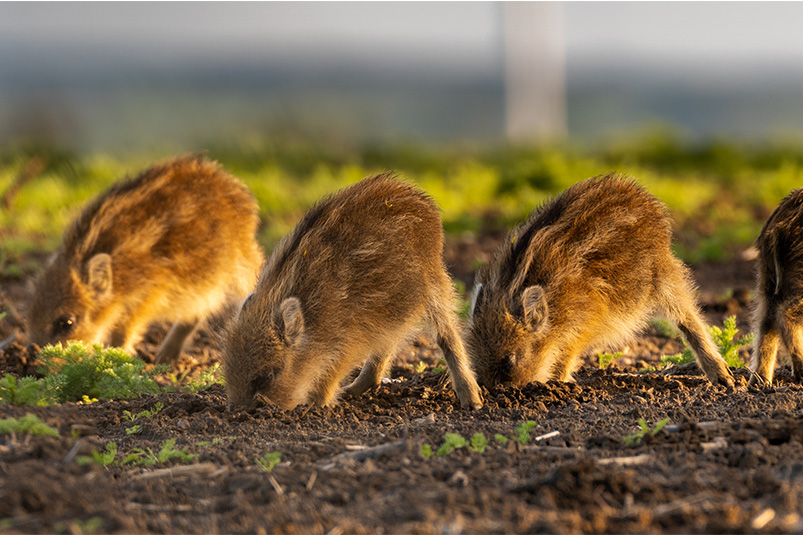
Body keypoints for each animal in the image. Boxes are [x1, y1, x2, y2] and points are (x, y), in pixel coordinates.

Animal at [27, 154, 264, 364]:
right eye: (30, 314)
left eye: (66, 323)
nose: (35, 361)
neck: (121, 275)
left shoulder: (148, 296)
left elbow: (123, 331)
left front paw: (114, 357)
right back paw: (164, 358)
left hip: (241, 264)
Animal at [222, 173, 483, 411]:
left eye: (267, 376)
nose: (238, 411)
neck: (312, 321)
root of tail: (423, 198)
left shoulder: (349, 340)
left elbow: (330, 373)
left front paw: (316, 406)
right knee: (389, 342)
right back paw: (353, 391)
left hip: (434, 286)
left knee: (447, 336)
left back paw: (473, 401)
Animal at [464, 173, 735, 388]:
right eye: (473, 357)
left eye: (509, 361)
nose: (498, 392)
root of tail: (647, 199)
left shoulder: (584, 322)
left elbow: (566, 353)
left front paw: (557, 383)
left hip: (665, 277)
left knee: (688, 319)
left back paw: (724, 378)